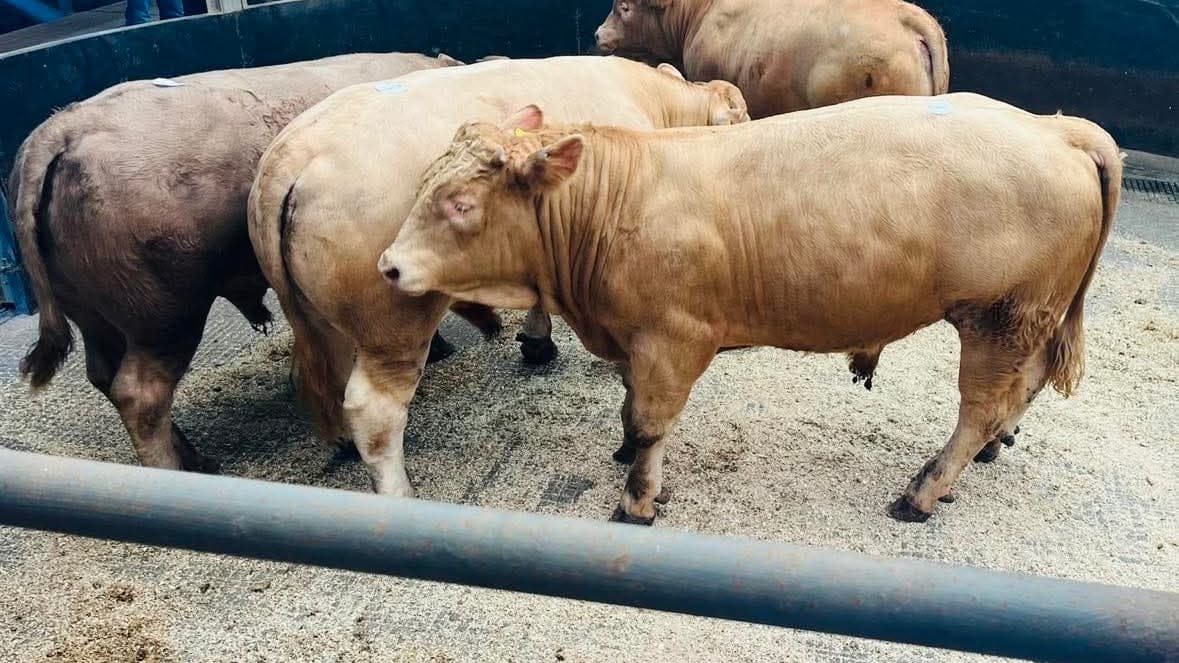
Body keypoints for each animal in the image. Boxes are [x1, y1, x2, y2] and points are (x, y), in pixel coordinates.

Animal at [7, 51, 460, 472]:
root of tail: (62, 129)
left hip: (96, 316)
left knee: (103, 375)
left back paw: (198, 458)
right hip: (165, 318)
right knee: (139, 394)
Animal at [248, 56, 749, 497]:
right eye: (740, 116)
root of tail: (289, 159)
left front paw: (537, 340)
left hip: (319, 317)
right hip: (391, 326)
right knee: (375, 413)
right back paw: (399, 491)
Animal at [379, 93, 1121, 524]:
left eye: (461, 204)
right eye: (425, 183)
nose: (387, 264)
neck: (619, 195)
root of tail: (1055, 128)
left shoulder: (673, 338)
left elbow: (650, 421)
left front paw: (638, 499)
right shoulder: (632, 338)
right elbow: (630, 406)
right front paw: (626, 457)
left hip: (1000, 316)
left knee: (979, 408)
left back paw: (924, 490)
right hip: (1028, 319)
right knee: (1020, 390)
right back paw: (994, 447)